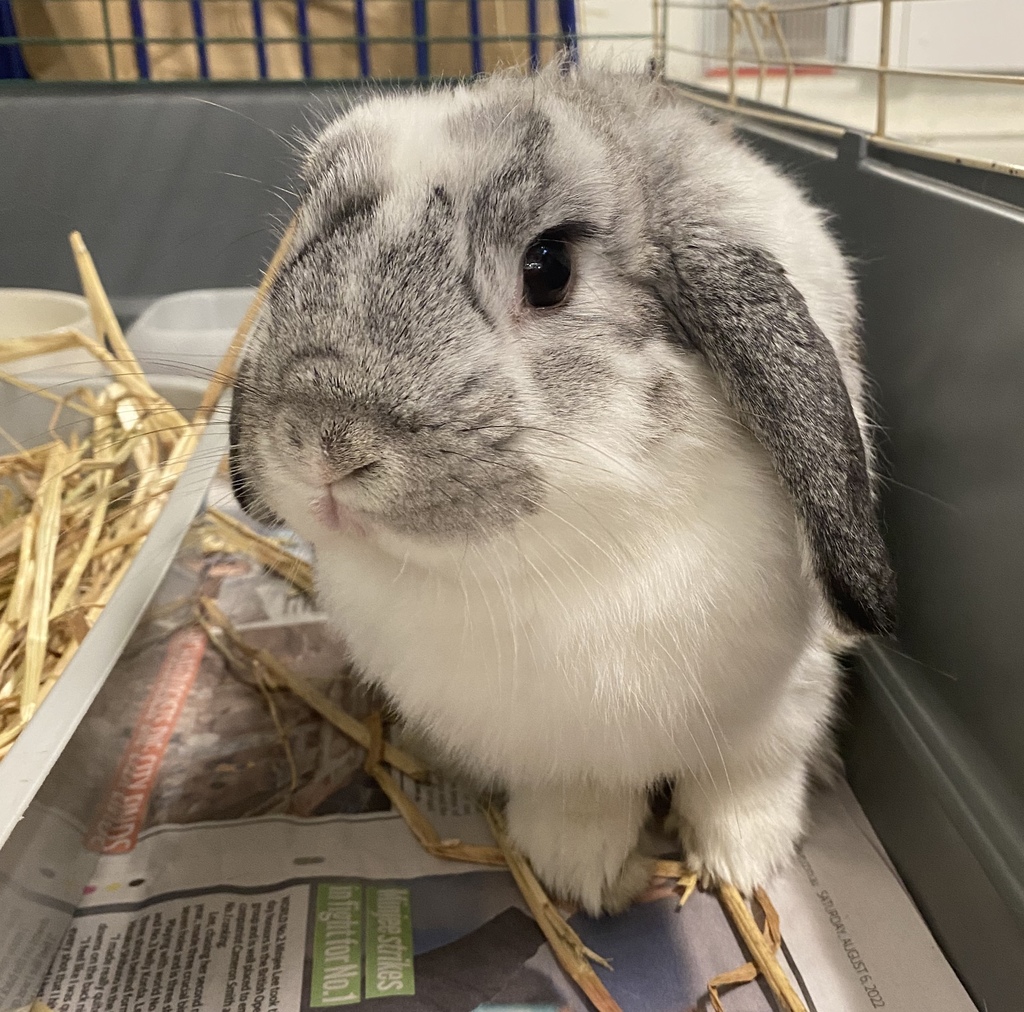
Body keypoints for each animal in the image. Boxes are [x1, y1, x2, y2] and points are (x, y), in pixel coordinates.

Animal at [229, 65, 895, 916]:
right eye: (305, 246)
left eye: (548, 269)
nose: (323, 441)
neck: (549, 564)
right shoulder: (557, 751)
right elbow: (580, 804)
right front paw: (586, 877)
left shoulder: (778, 705)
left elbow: (745, 781)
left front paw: (743, 861)